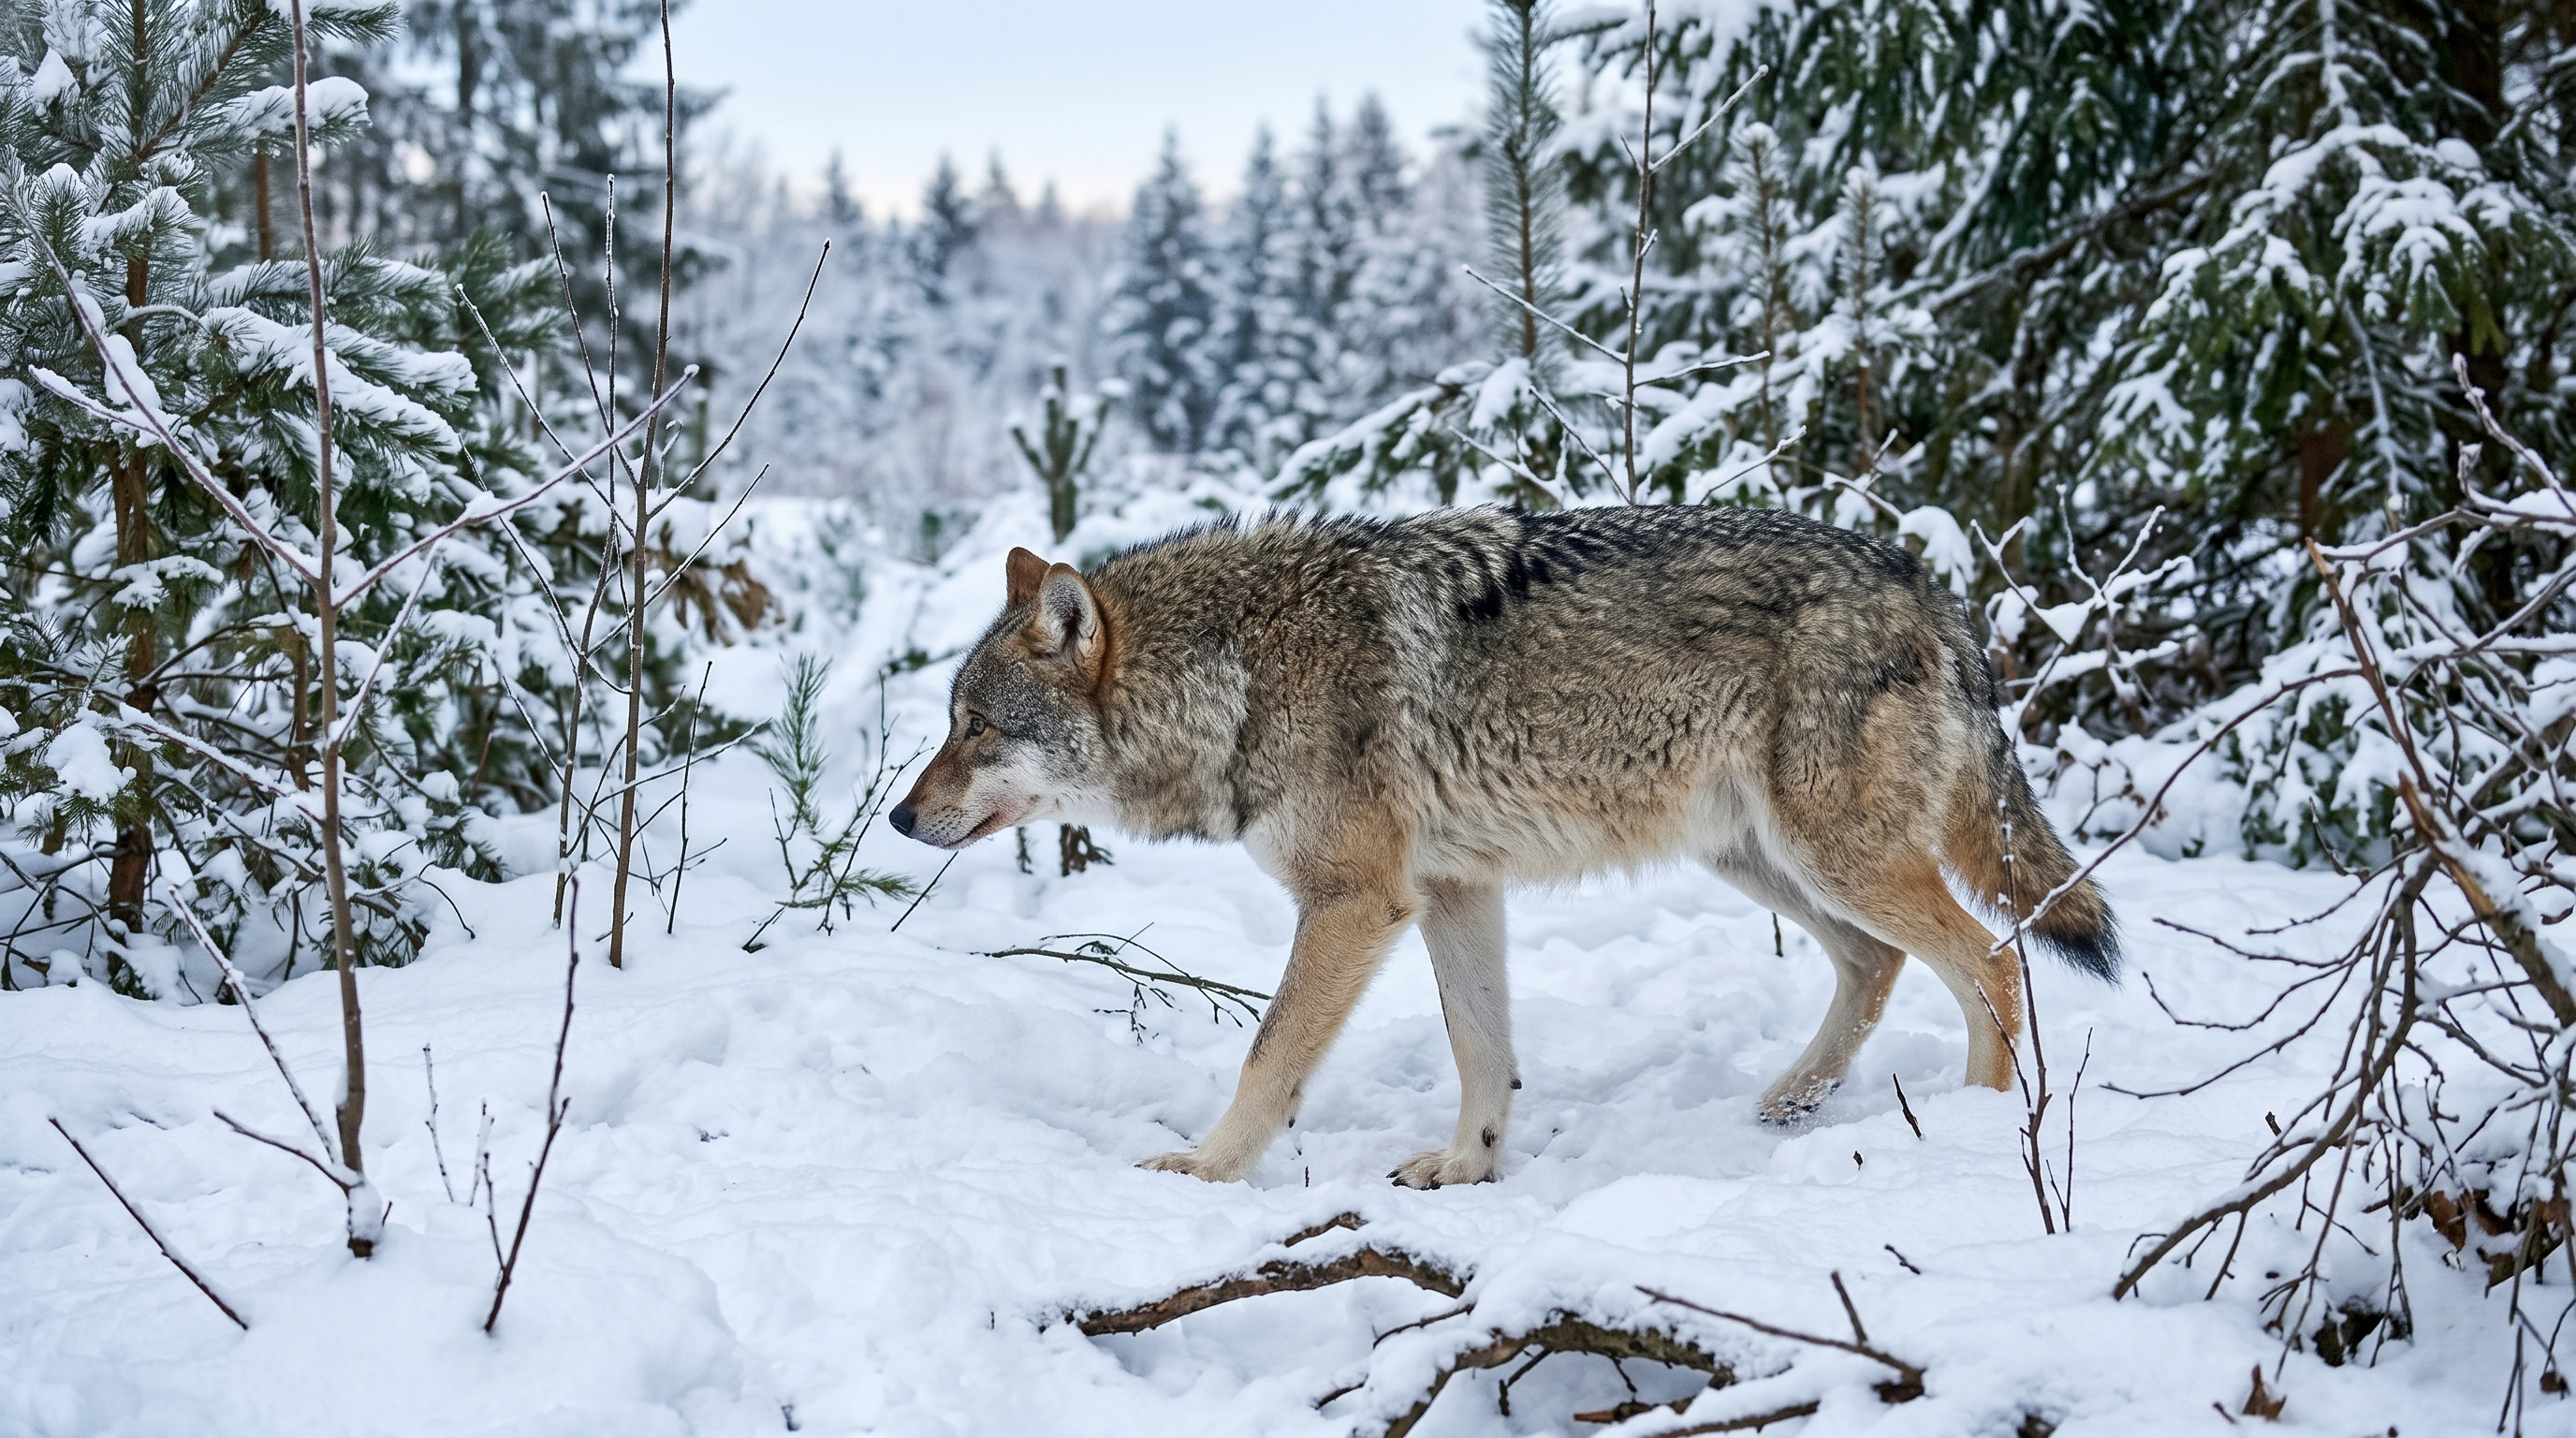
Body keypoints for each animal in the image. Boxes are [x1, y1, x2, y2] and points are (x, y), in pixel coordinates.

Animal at [889, 505, 2117, 1187]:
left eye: (977, 728)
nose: (899, 819)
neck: (1238, 670)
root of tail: (1928, 583)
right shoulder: (1452, 893)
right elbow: (1481, 1049)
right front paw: (1467, 1167)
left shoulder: (1354, 903)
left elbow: (1269, 1061)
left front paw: (1203, 1170)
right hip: (1759, 858)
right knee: (1881, 960)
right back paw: (1793, 1102)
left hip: (1831, 856)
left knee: (1991, 960)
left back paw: (1973, 1129)